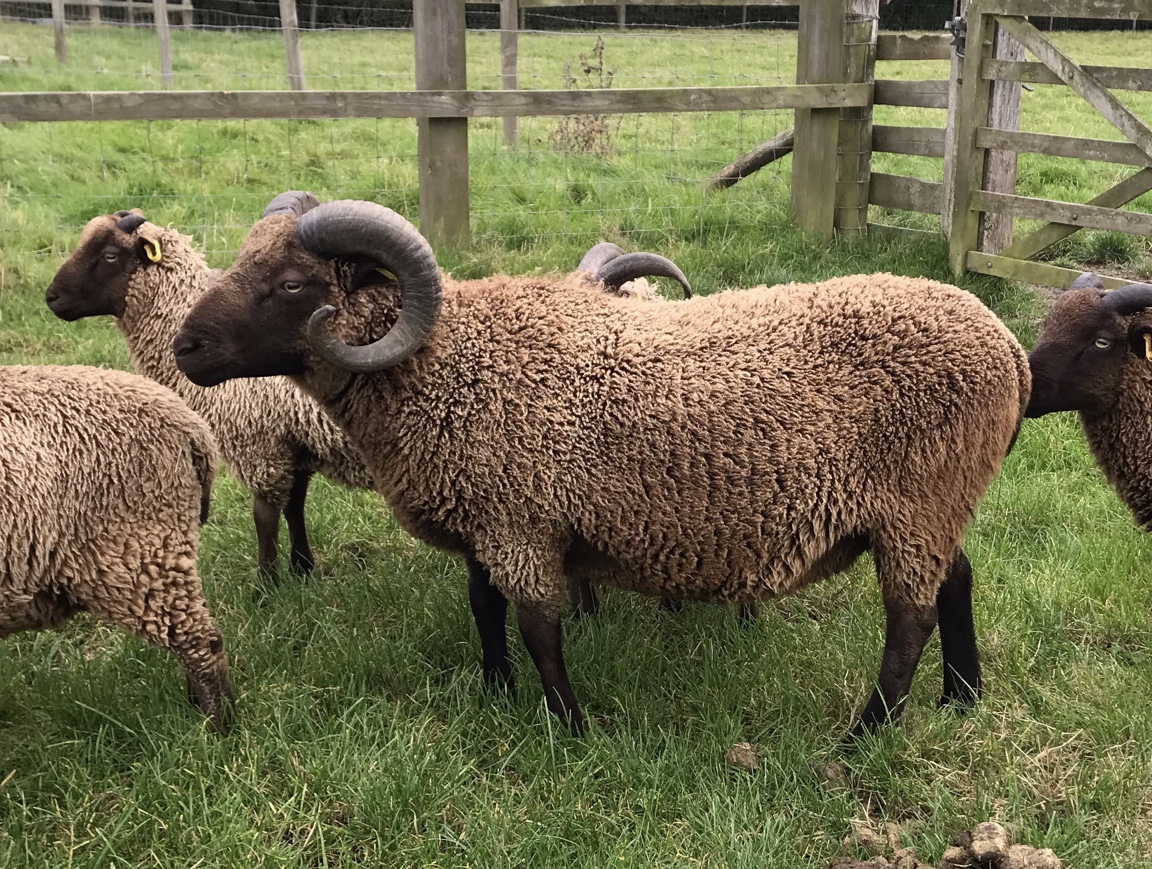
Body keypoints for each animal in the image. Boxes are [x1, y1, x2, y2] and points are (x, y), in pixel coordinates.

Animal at [171, 200, 1030, 738]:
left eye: (291, 284)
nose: (186, 346)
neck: (447, 363)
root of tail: (1007, 346)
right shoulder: (489, 520)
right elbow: (484, 609)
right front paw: (495, 691)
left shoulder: (523, 524)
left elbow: (538, 627)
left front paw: (570, 726)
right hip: (935, 505)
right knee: (957, 581)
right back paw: (962, 697)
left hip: (918, 501)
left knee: (909, 621)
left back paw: (865, 734)